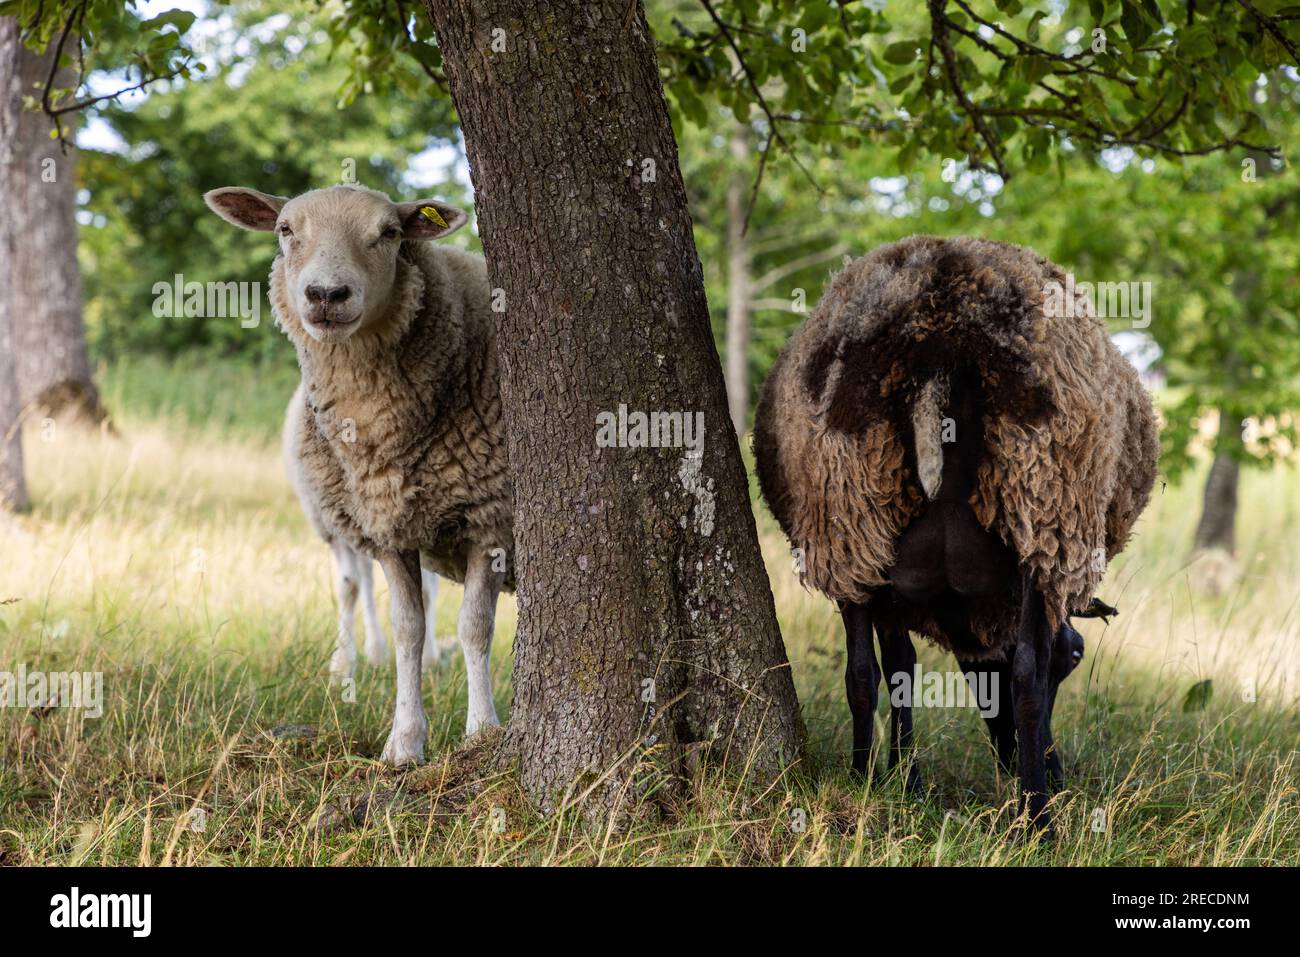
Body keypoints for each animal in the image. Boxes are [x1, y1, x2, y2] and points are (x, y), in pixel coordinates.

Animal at [282, 385, 443, 682]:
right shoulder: (335, 525)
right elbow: (349, 586)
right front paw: (342, 666)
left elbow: (425, 591)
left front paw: (428, 659)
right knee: (365, 579)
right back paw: (375, 650)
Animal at [753, 235, 1159, 834]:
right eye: (1076, 657)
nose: (1053, 771)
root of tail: (941, 334)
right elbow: (1003, 672)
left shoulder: (888, 584)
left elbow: (893, 670)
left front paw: (898, 782)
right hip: (1035, 522)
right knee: (1025, 678)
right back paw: (1039, 821)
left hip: (852, 527)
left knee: (860, 675)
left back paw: (865, 779)